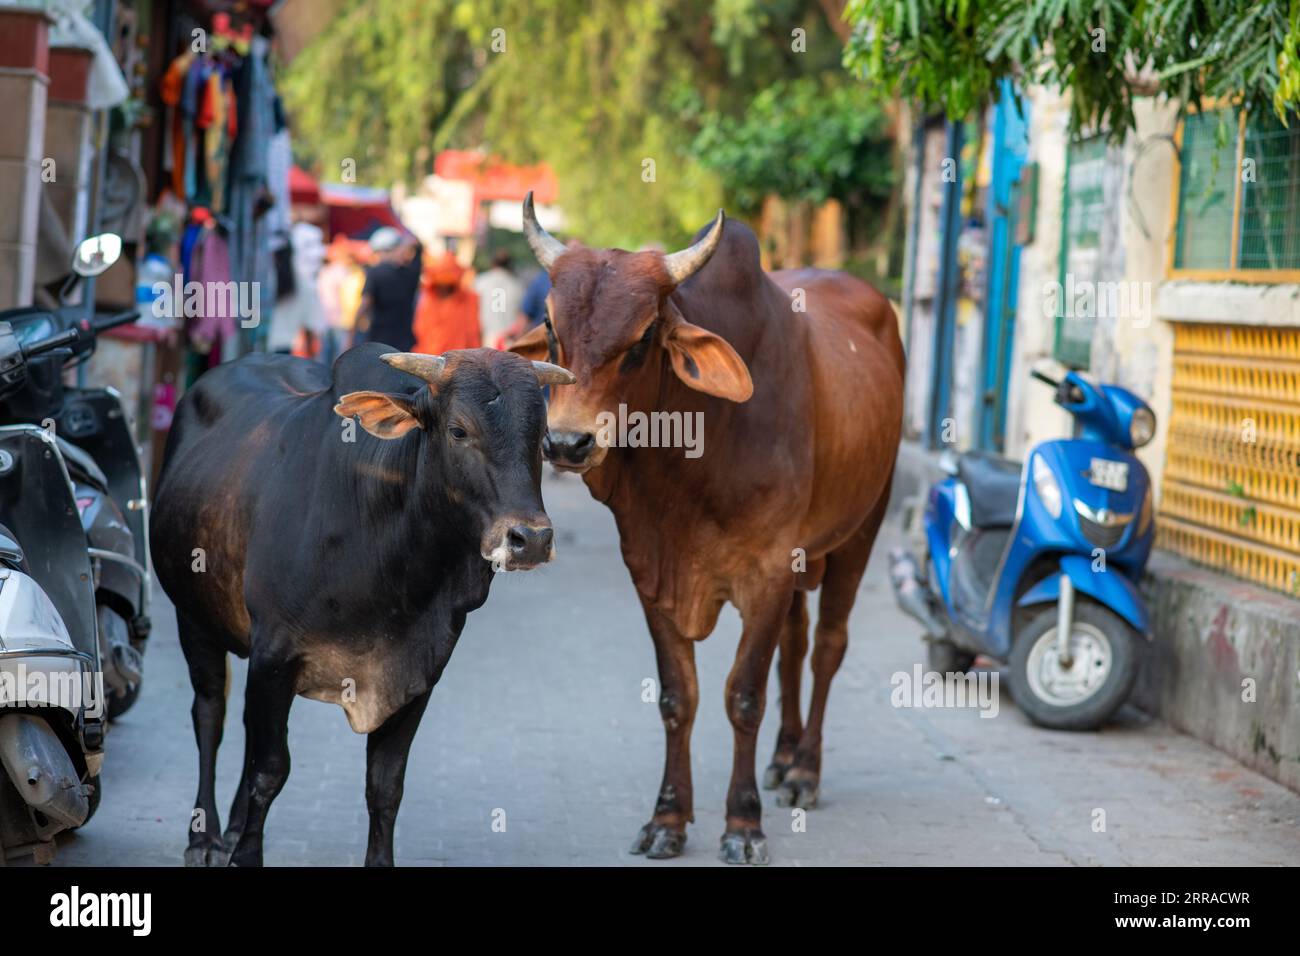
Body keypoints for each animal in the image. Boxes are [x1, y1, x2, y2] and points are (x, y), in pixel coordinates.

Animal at [150, 344, 574, 866]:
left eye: (541, 436)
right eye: (458, 430)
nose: (530, 539)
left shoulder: (418, 672)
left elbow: (385, 786)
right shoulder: (274, 655)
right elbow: (270, 771)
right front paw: (245, 856)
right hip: (194, 619)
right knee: (210, 716)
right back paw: (205, 837)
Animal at [510, 194, 904, 864]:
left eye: (642, 337)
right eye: (553, 330)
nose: (566, 443)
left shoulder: (767, 574)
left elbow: (743, 696)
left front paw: (742, 823)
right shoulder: (650, 570)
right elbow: (679, 696)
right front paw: (668, 818)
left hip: (861, 529)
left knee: (828, 646)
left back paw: (805, 770)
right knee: (796, 646)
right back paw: (782, 760)